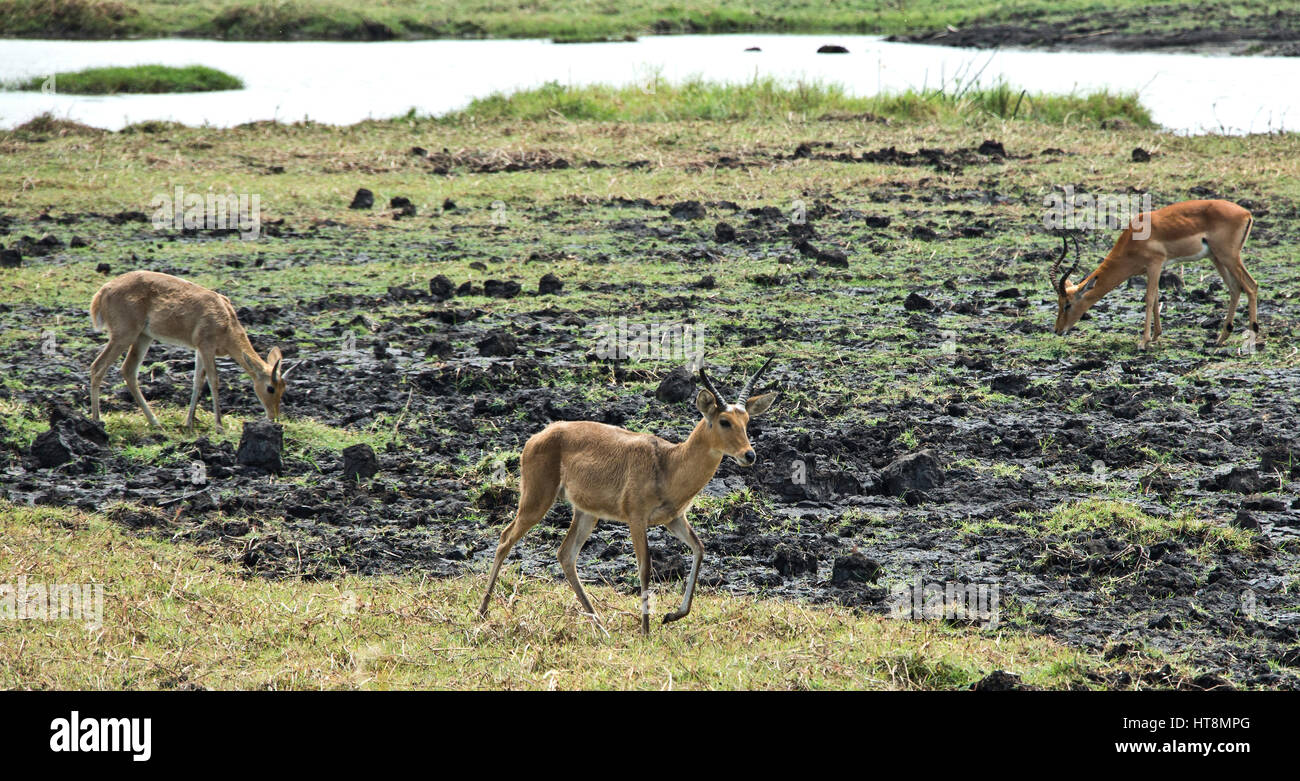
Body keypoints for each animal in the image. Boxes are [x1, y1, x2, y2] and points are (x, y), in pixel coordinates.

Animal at [89, 270, 292, 432]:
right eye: (270, 387)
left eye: (284, 388)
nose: (274, 417)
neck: (226, 319)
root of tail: (103, 291)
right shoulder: (207, 347)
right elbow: (213, 381)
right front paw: (219, 426)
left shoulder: (199, 349)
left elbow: (197, 382)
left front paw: (188, 423)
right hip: (124, 336)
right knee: (97, 366)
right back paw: (97, 420)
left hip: (143, 337)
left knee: (128, 370)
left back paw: (155, 423)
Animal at [477, 358, 779, 636]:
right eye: (724, 421)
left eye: (747, 421)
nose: (749, 455)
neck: (668, 462)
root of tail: (539, 435)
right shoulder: (636, 518)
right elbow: (645, 567)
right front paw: (646, 631)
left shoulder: (674, 519)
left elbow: (699, 549)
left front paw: (671, 616)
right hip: (536, 500)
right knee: (505, 538)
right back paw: (481, 612)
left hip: (586, 513)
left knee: (565, 554)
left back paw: (600, 625)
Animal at [1052, 199, 1256, 349]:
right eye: (1059, 303)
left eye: (1068, 304)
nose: (1057, 330)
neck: (1132, 239)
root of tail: (1246, 213)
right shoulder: (1151, 270)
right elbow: (1157, 296)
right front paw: (1156, 336)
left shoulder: (1155, 264)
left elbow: (1149, 298)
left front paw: (1143, 341)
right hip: (1217, 258)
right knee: (1235, 289)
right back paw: (1221, 339)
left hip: (1228, 256)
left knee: (1251, 286)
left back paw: (1252, 336)